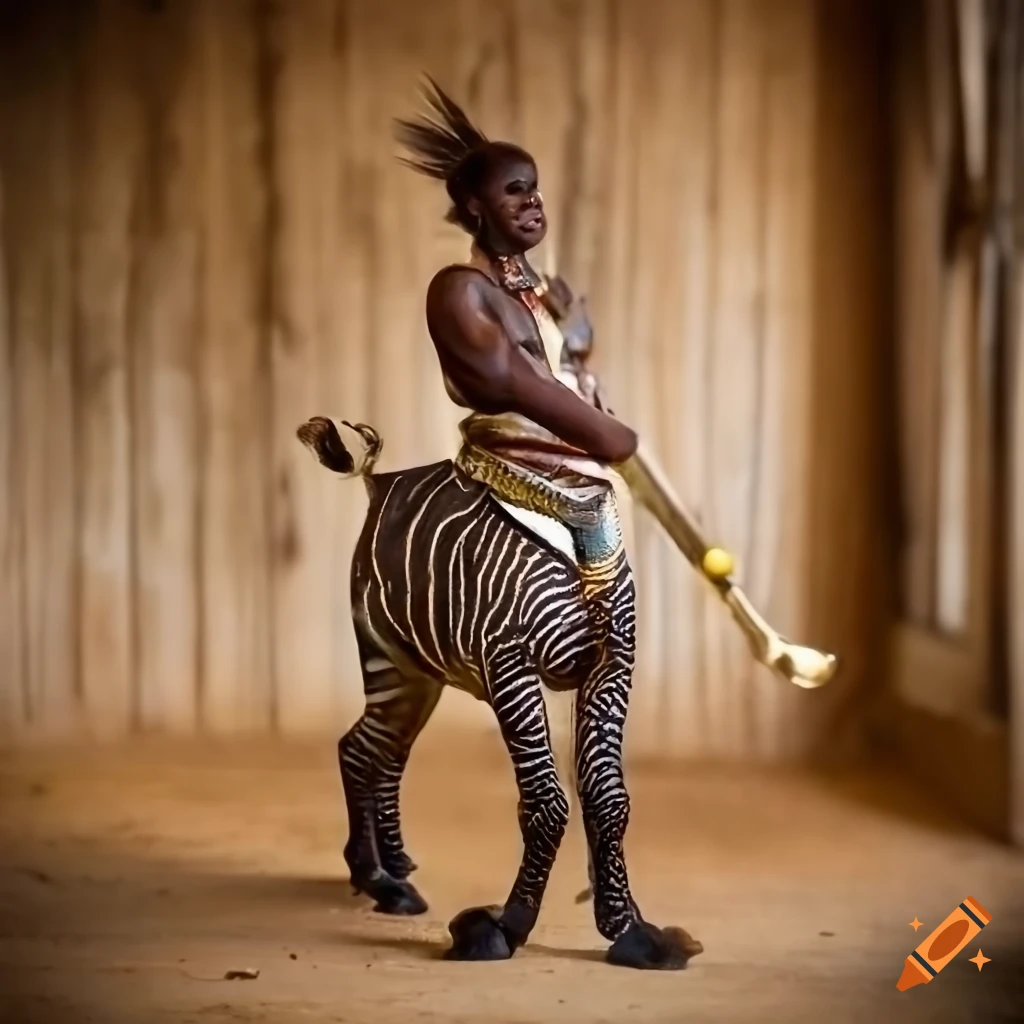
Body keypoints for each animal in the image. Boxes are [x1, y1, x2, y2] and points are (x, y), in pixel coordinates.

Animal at [297, 415, 702, 970]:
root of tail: (378, 483)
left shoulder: (613, 664)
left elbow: (608, 796)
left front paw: (628, 928)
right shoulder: (509, 662)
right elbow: (546, 802)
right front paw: (505, 925)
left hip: (418, 675)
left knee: (380, 751)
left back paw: (392, 874)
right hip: (387, 657)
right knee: (362, 750)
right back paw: (377, 876)